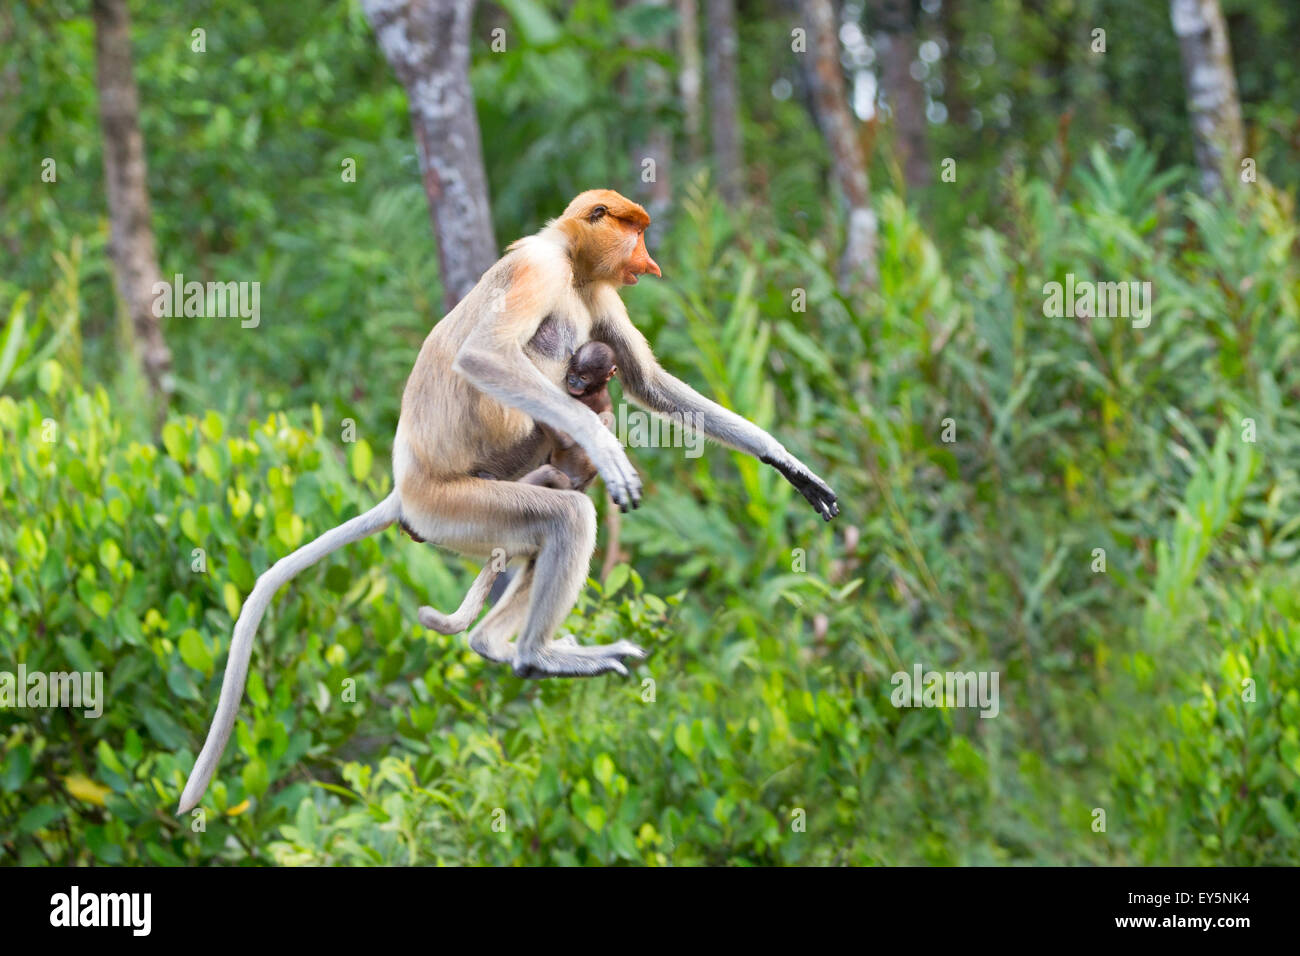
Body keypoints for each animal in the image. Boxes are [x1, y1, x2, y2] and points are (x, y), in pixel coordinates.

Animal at [417, 340, 619, 635]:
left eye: (584, 376)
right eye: (573, 371)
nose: (572, 381)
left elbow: (570, 438)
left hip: (563, 482)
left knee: (552, 473)